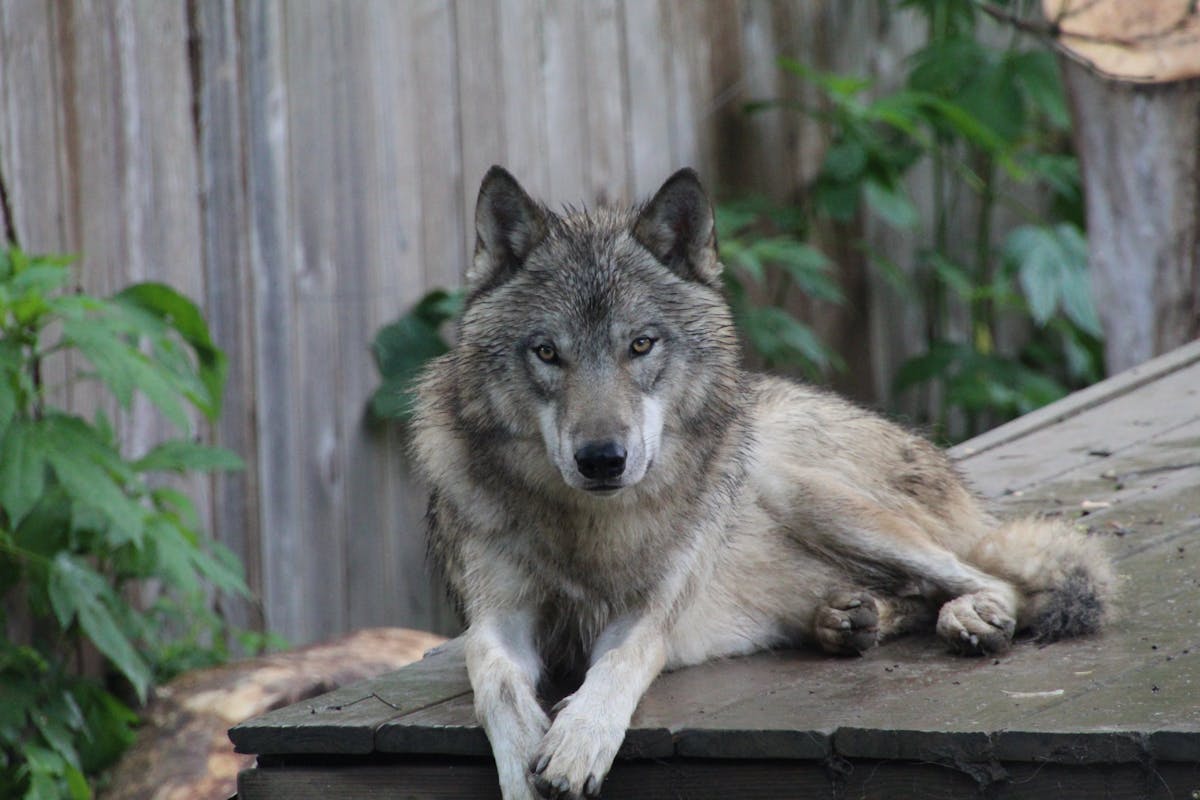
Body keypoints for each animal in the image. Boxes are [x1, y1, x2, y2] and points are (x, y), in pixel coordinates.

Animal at [410, 166, 1115, 800]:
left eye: (641, 345)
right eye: (547, 353)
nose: (603, 459)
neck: (586, 528)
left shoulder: (647, 616)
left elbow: (616, 666)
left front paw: (577, 741)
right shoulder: (498, 619)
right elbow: (494, 680)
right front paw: (528, 754)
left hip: (798, 489)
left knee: (994, 580)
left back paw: (966, 616)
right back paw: (851, 618)